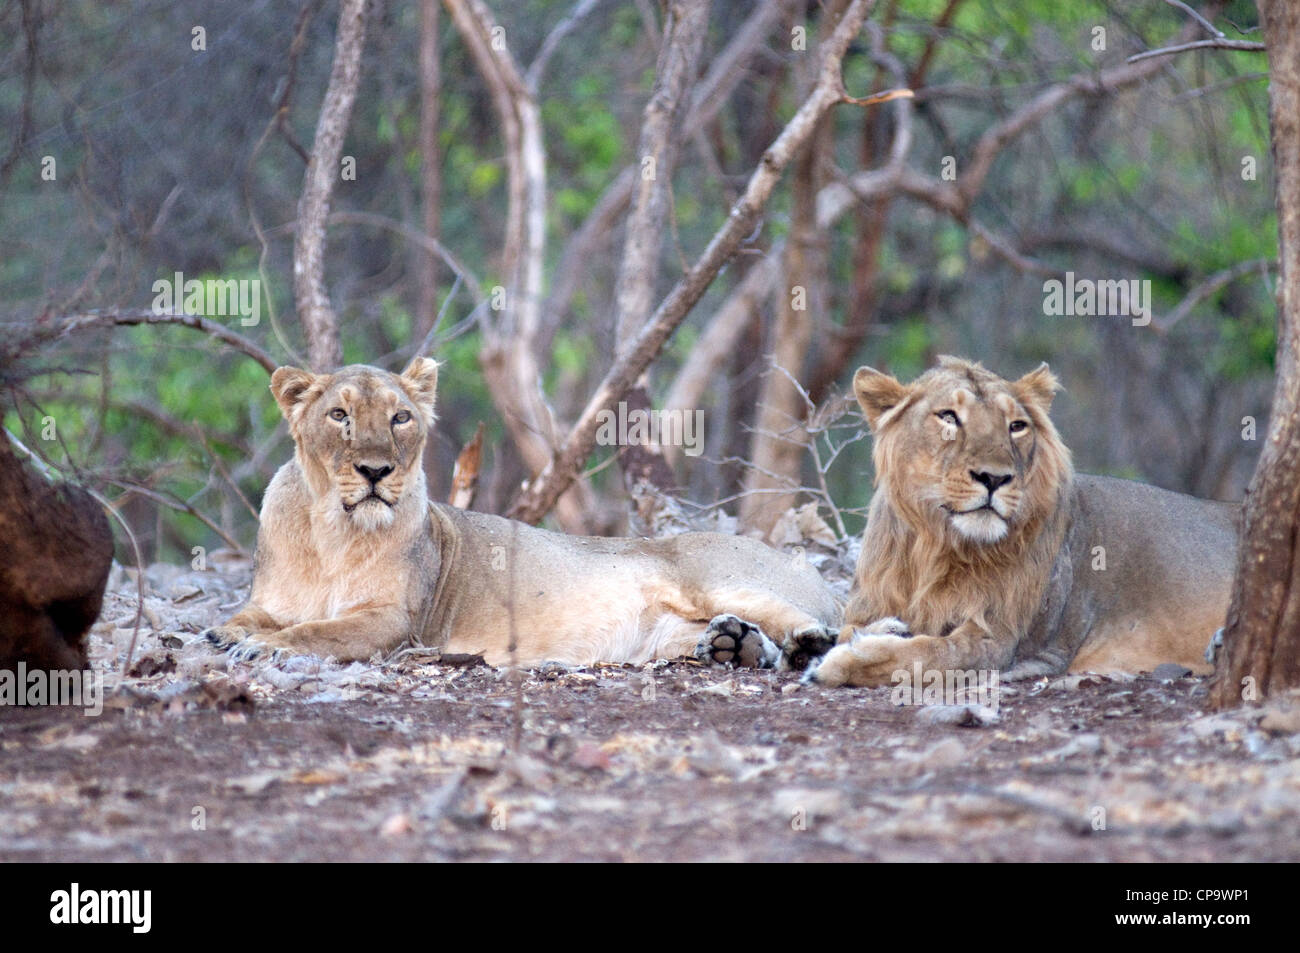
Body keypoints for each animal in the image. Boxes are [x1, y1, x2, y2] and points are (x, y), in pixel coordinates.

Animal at [203, 358, 841, 669]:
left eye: (400, 418)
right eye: (339, 415)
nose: (375, 472)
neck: (333, 530)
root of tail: (804, 565)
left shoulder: (397, 621)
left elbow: (322, 630)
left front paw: (267, 648)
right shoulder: (270, 599)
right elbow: (247, 616)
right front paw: (225, 633)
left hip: (717, 580)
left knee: (821, 623)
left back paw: (807, 644)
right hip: (665, 637)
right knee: (736, 639)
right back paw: (736, 646)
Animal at [802, 356, 1239, 687]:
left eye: (1016, 425)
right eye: (948, 417)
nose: (994, 478)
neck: (936, 547)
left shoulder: (1009, 644)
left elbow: (936, 653)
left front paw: (843, 662)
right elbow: (862, 630)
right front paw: (877, 634)